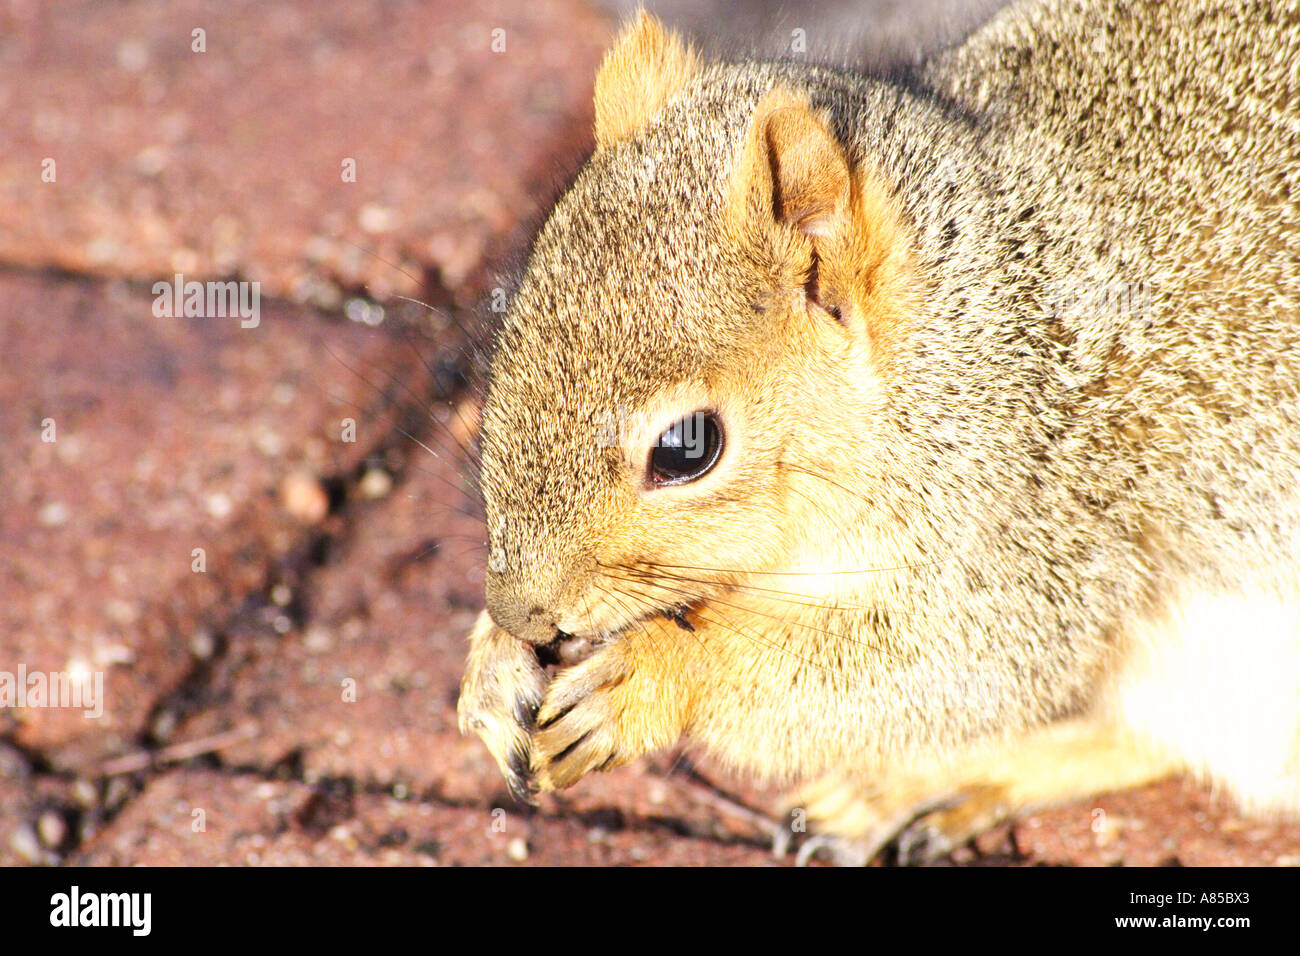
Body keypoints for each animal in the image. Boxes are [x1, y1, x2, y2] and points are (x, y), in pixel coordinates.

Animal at [458, 0, 1300, 864]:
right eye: (512, 333)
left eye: (688, 448)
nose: (521, 612)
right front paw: (490, 665)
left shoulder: (1032, 531)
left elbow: (934, 674)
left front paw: (654, 675)